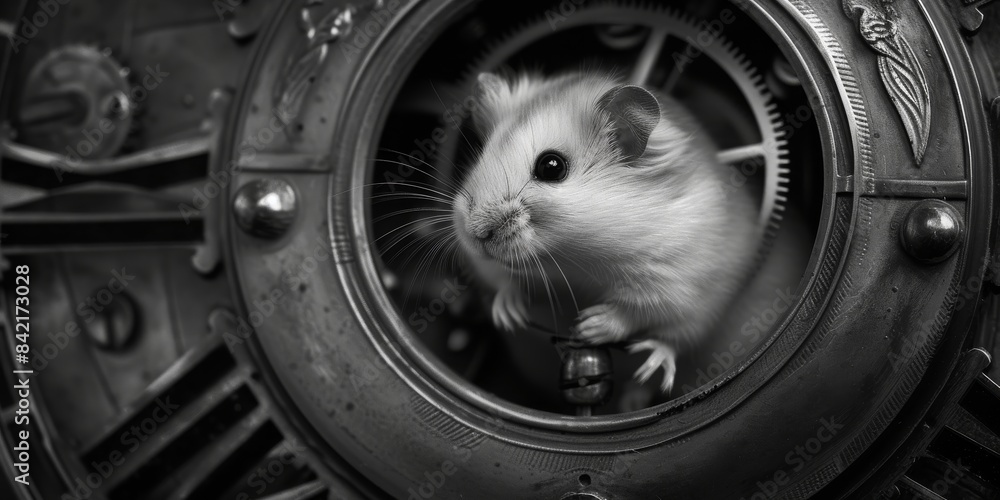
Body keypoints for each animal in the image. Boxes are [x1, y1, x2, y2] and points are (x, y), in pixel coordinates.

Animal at [452, 71, 759, 393]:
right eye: (483, 154)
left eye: (551, 166)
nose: (476, 234)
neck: (573, 260)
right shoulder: (491, 267)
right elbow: (503, 282)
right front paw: (509, 316)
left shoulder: (673, 280)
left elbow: (639, 312)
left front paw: (587, 325)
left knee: (672, 342)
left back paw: (649, 369)